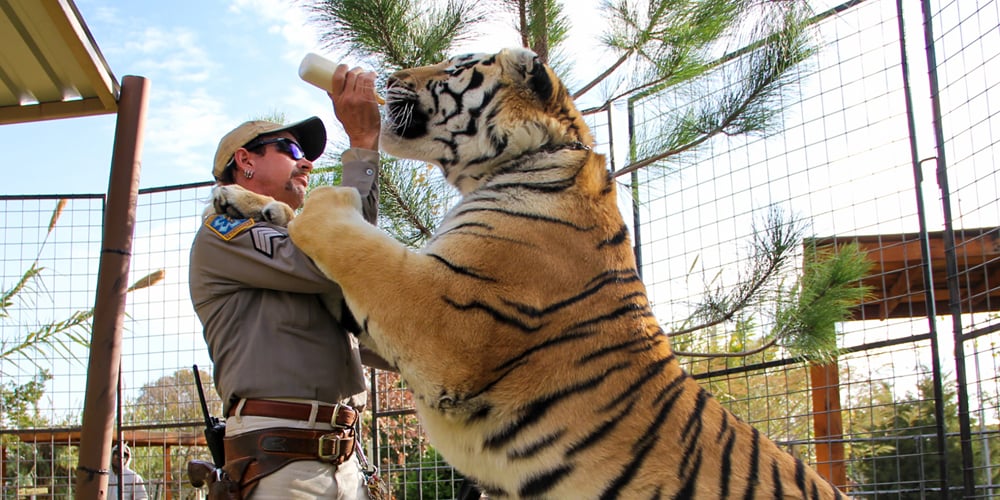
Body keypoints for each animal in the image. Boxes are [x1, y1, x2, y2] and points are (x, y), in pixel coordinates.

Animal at [261, 47, 847, 498]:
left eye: (454, 67)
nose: (387, 81)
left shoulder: (446, 316)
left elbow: (359, 245)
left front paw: (320, 200)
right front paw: (257, 204)